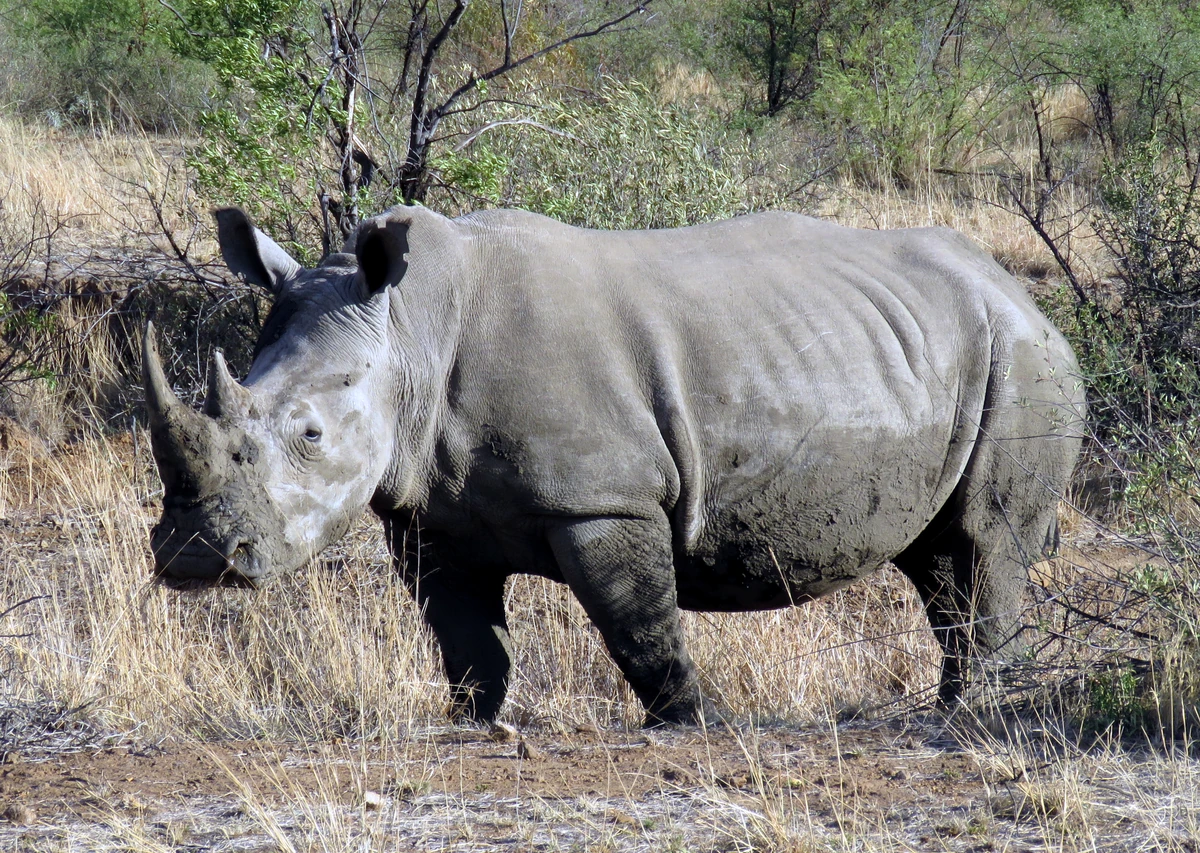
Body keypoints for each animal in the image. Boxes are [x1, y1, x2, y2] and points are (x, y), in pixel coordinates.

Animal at [144, 204, 1085, 726]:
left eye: (308, 434)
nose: (194, 557)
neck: (408, 328)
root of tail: (1023, 292)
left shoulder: (602, 498)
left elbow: (639, 624)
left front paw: (695, 723)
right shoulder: (426, 512)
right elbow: (463, 636)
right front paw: (471, 720)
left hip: (1023, 357)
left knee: (986, 540)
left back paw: (971, 717)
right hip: (939, 347)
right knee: (937, 559)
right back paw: (958, 705)